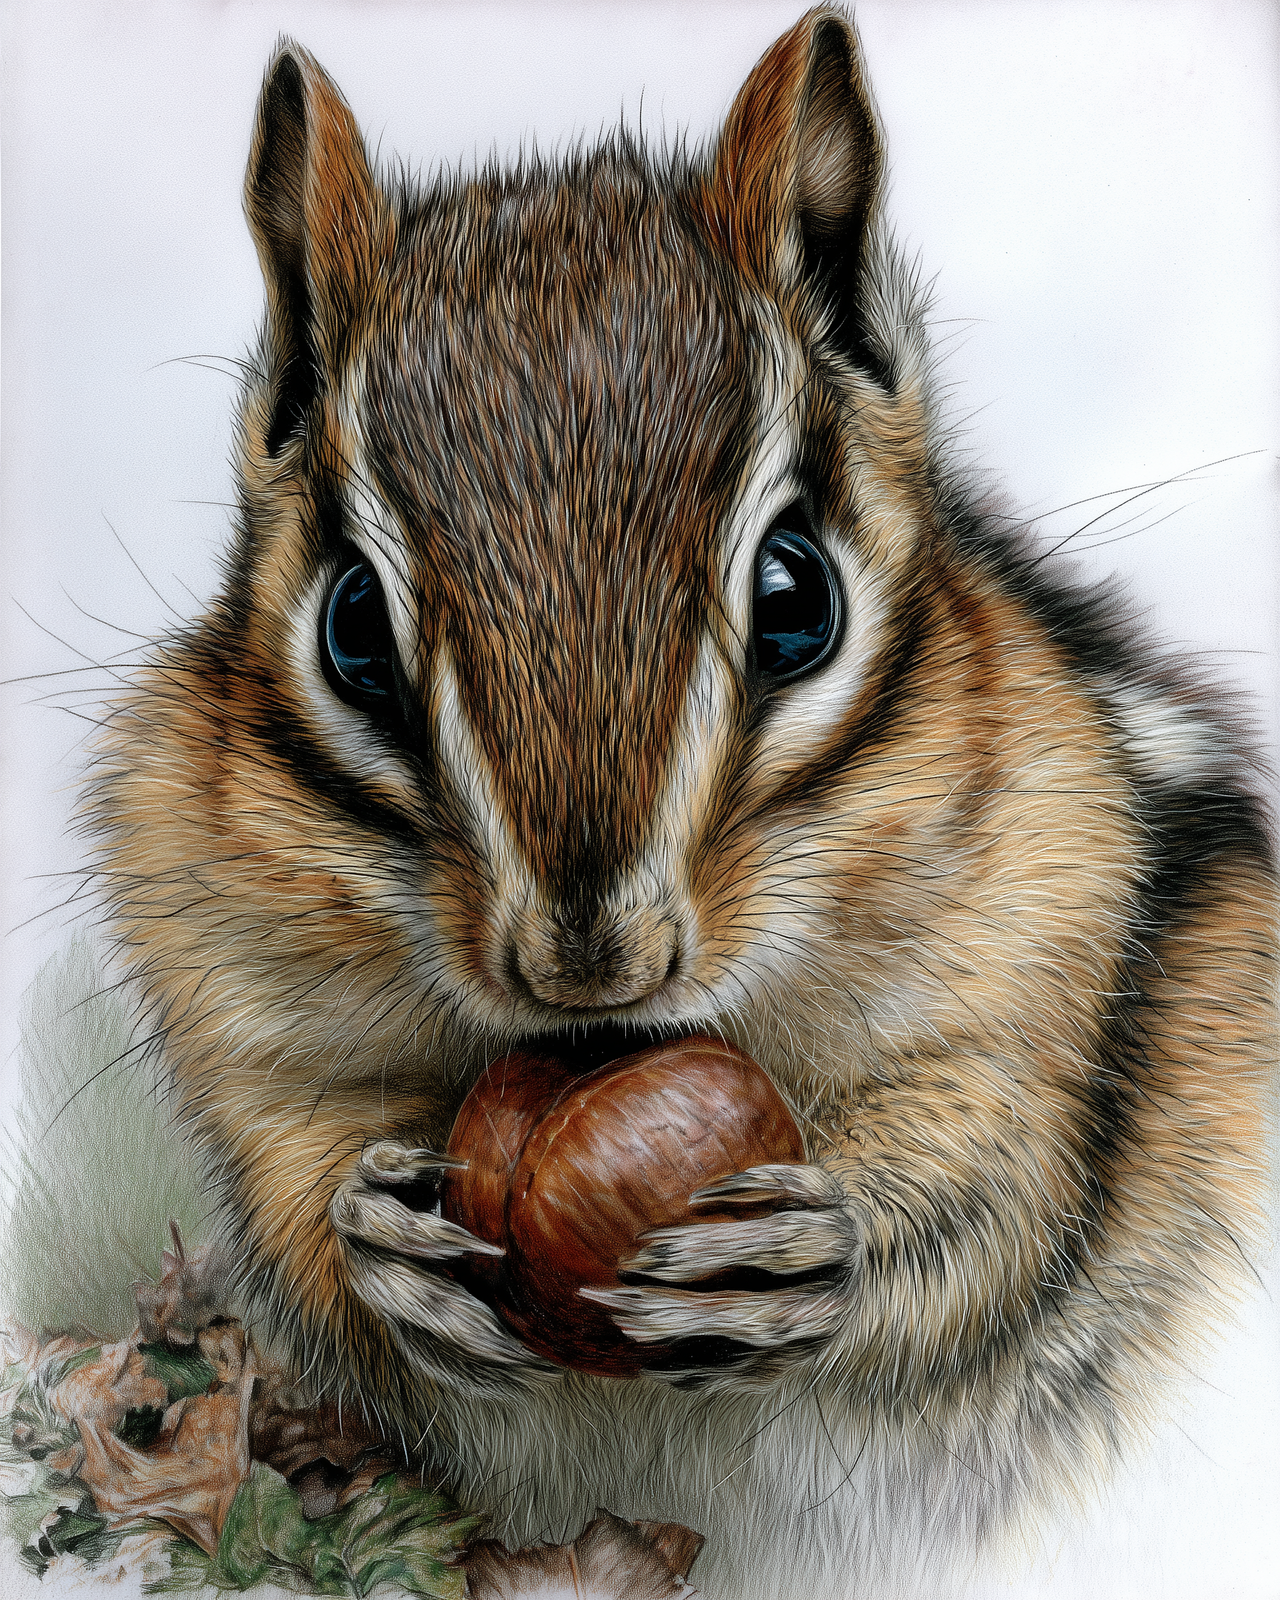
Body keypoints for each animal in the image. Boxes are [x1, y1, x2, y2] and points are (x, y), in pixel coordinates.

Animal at [88, 8, 1274, 1597]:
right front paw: (375, 1243)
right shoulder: (224, 967)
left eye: (796, 597)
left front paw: (816, 1250)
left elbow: (993, 1186)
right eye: (351, 628)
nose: (590, 966)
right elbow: (292, 1155)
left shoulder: (1045, 931)